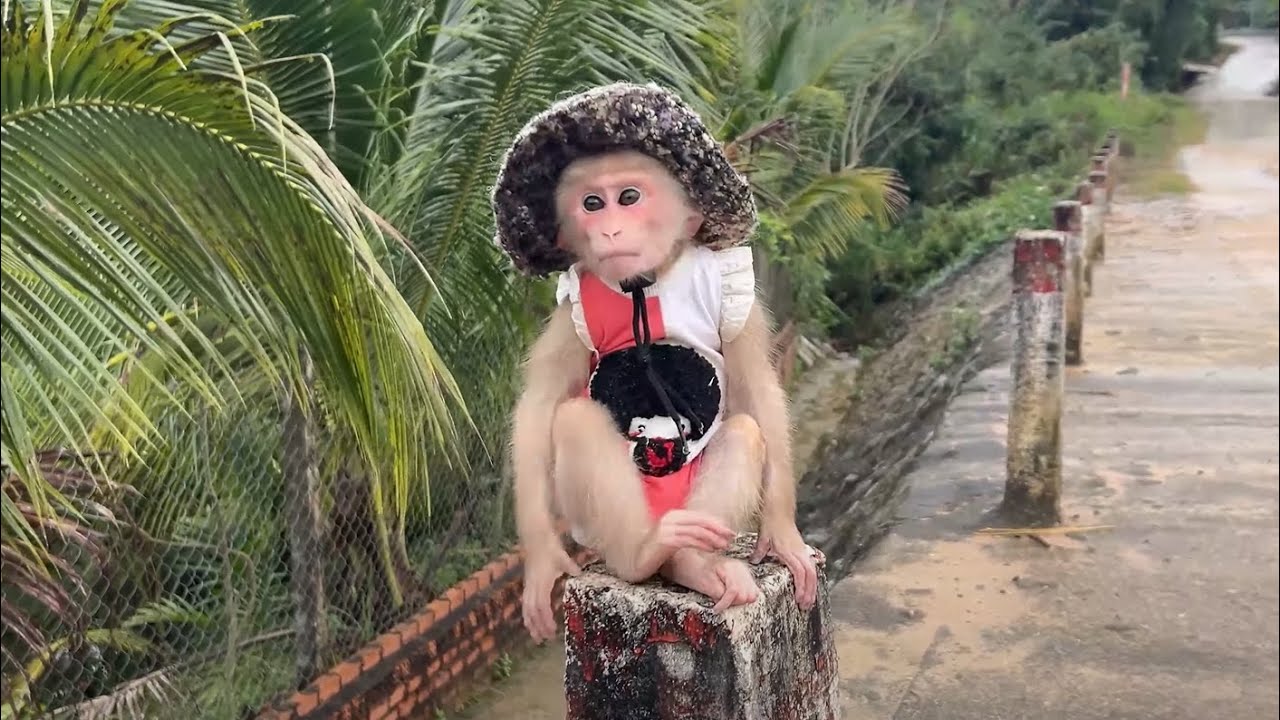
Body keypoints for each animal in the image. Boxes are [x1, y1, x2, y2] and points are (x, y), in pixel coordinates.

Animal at [490, 83, 818, 644]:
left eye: (629, 198)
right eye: (591, 203)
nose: (609, 230)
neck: (649, 282)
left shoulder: (734, 289)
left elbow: (759, 390)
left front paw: (782, 534)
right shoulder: (571, 308)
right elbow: (538, 405)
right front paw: (542, 560)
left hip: (691, 506)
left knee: (746, 432)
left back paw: (691, 562)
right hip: (601, 524)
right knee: (574, 420)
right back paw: (645, 555)